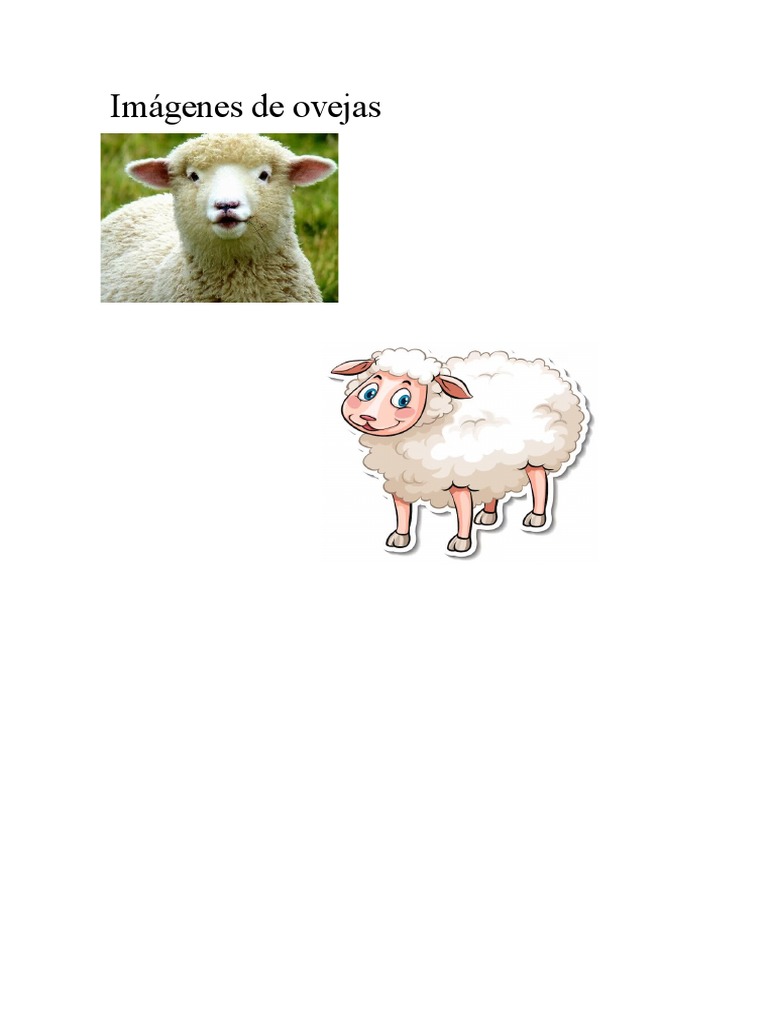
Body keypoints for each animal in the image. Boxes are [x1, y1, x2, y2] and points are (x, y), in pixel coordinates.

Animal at [332, 348, 588, 554]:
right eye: (369, 393)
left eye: (403, 399)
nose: (367, 417)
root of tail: (543, 370)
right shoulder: (400, 478)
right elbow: (402, 511)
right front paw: (400, 538)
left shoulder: (456, 477)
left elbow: (463, 509)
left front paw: (461, 542)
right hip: (491, 463)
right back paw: (488, 516)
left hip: (536, 454)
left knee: (539, 482)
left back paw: (536, 517)